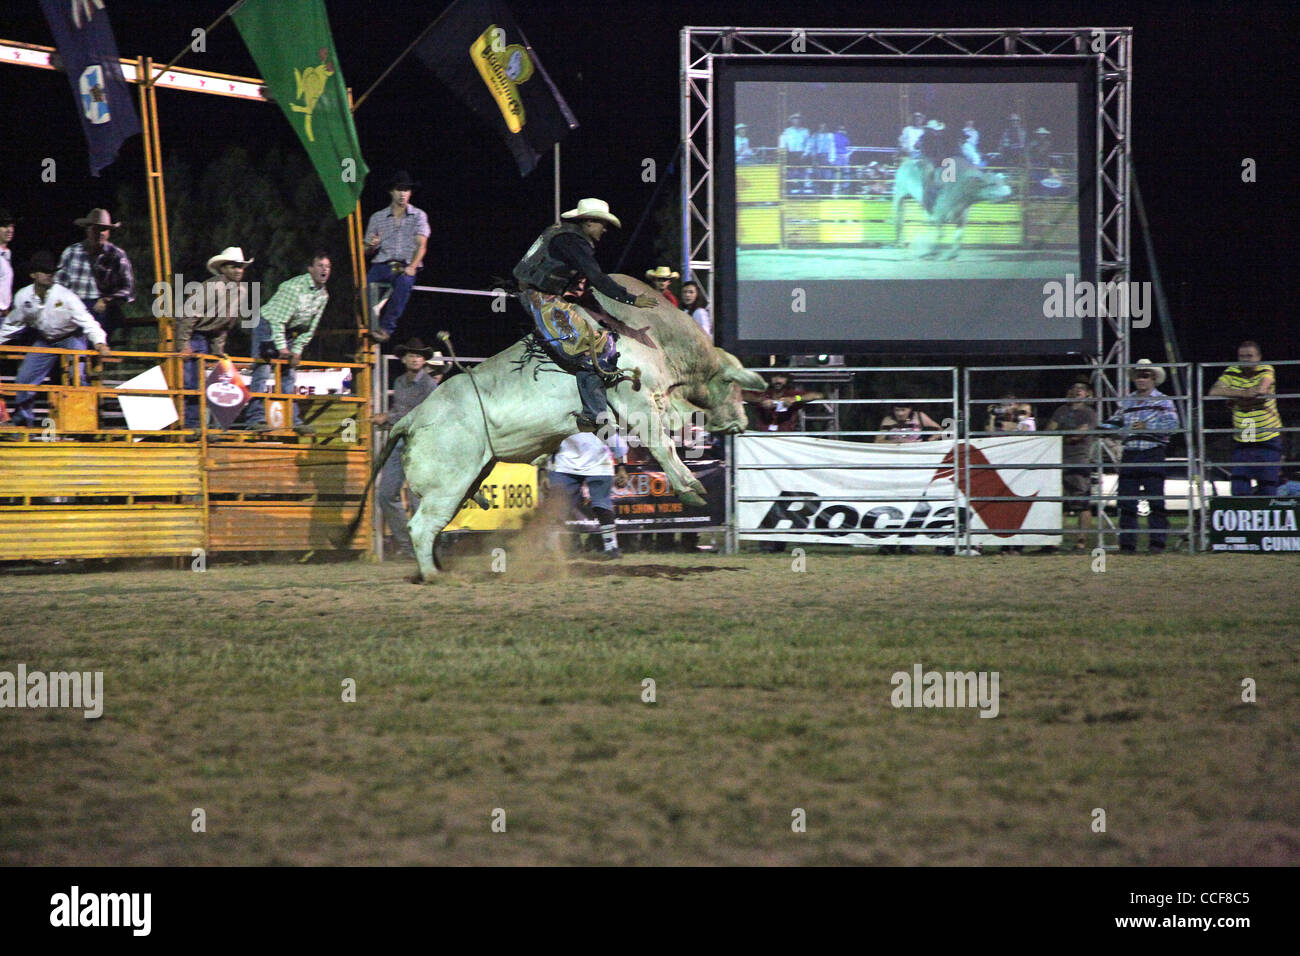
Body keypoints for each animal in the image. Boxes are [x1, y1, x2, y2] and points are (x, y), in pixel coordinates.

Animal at [347, 275, 767, 582]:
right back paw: (434, 575)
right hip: (447, 485)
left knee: (432, 527)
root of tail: (411, 418)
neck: (655, 338)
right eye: (733, 385)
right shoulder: (636, 403)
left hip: (463, 481)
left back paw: (436, 568)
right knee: (421, 527)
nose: (743, 421)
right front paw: (692, 488)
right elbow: (662, 446)